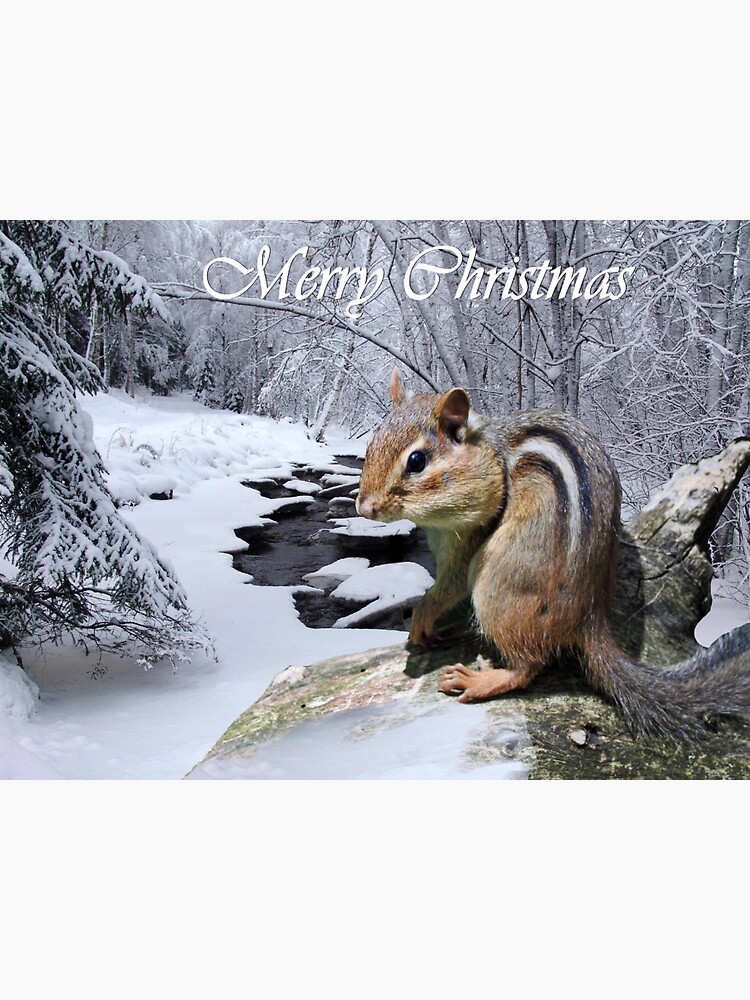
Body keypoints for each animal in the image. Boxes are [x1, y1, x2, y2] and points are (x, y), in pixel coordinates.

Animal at [355, 367, 750, 741]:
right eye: (372, 442)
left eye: (417, 461)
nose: (364, 507)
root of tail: (589, 618)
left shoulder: (469, 539)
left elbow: (448, 587)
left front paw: (422, 616)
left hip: (496, 588)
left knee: (527, 667)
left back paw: (480, 681)